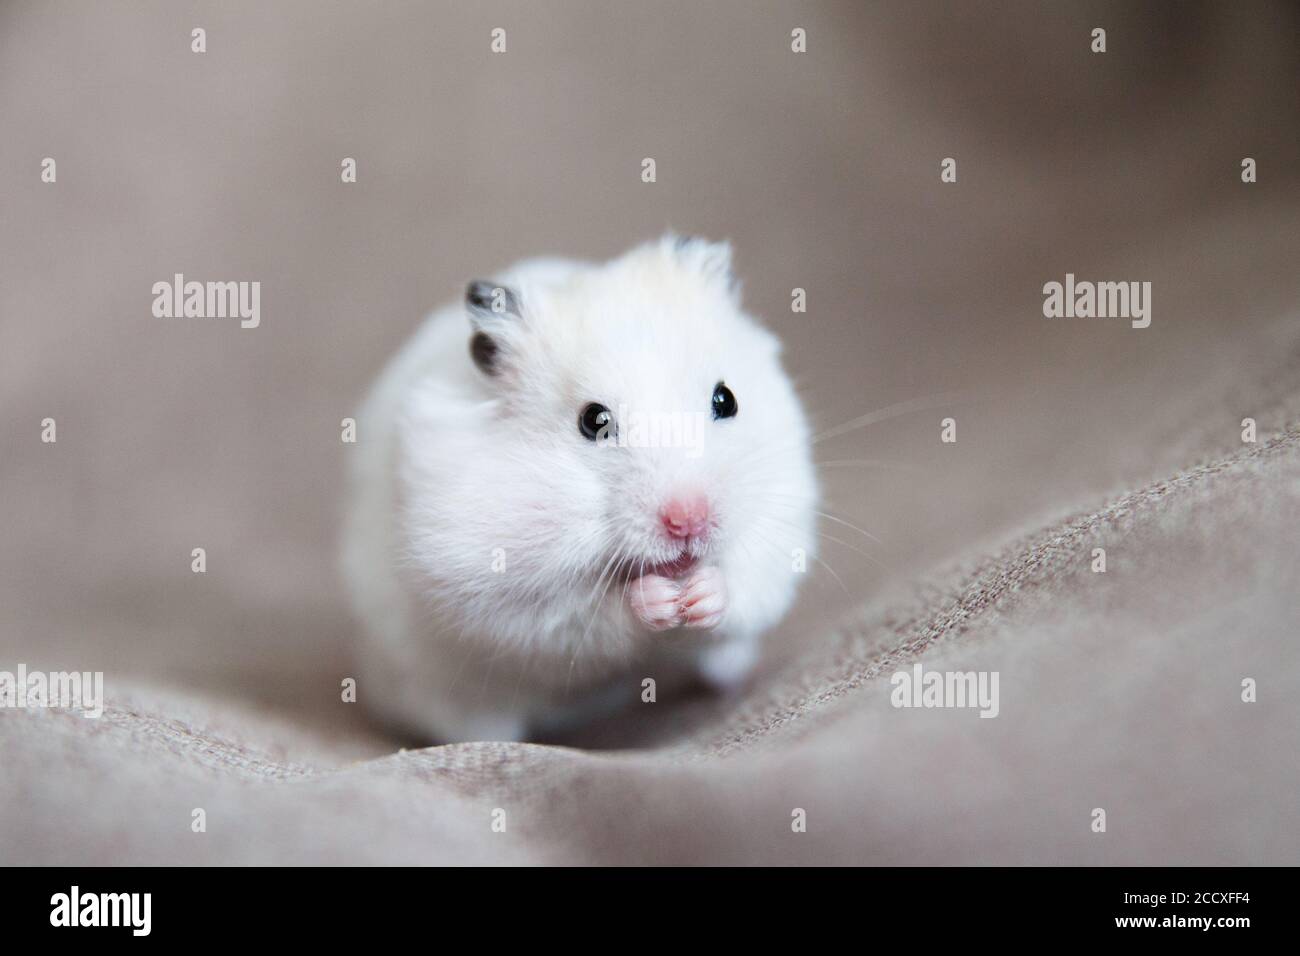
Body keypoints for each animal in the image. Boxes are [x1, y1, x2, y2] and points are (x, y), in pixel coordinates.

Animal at [341, 235, 817, 743]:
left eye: (726, 399)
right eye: (594, 421)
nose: (688, 521)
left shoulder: (780, 519)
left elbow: (745, 581)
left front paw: (699, 596)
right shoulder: (499, 588)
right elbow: (589, 615)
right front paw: (661, 600)